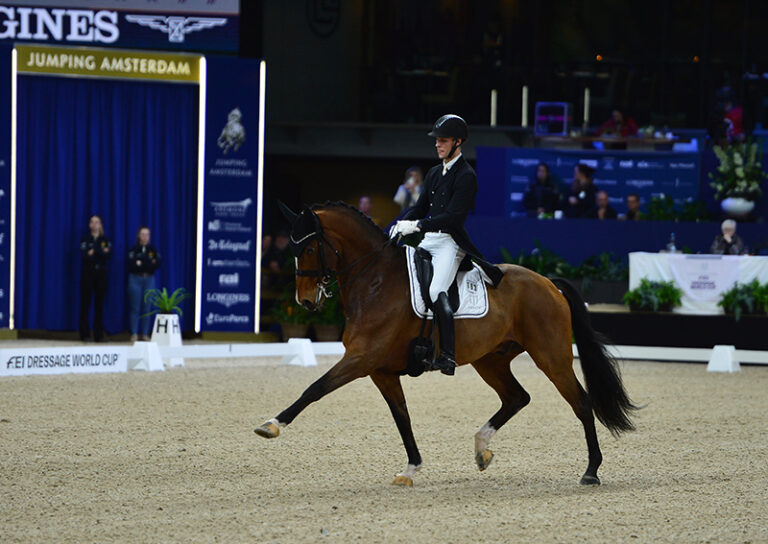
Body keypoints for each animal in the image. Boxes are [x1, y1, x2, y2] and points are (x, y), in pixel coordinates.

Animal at [255, 202, 637, 487]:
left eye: (308, 248)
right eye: (291, 248)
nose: (305, 302)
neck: (375, 281)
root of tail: (547, 282)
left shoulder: (361, 359)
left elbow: (315, 388)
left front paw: (271, 425)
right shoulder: (381, 371)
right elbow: (402, 417)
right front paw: (410, 468)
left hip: (551, 356)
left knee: (581, 403)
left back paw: (591, 472)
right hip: (491, 360)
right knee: (517, 397)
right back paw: (482, 449)